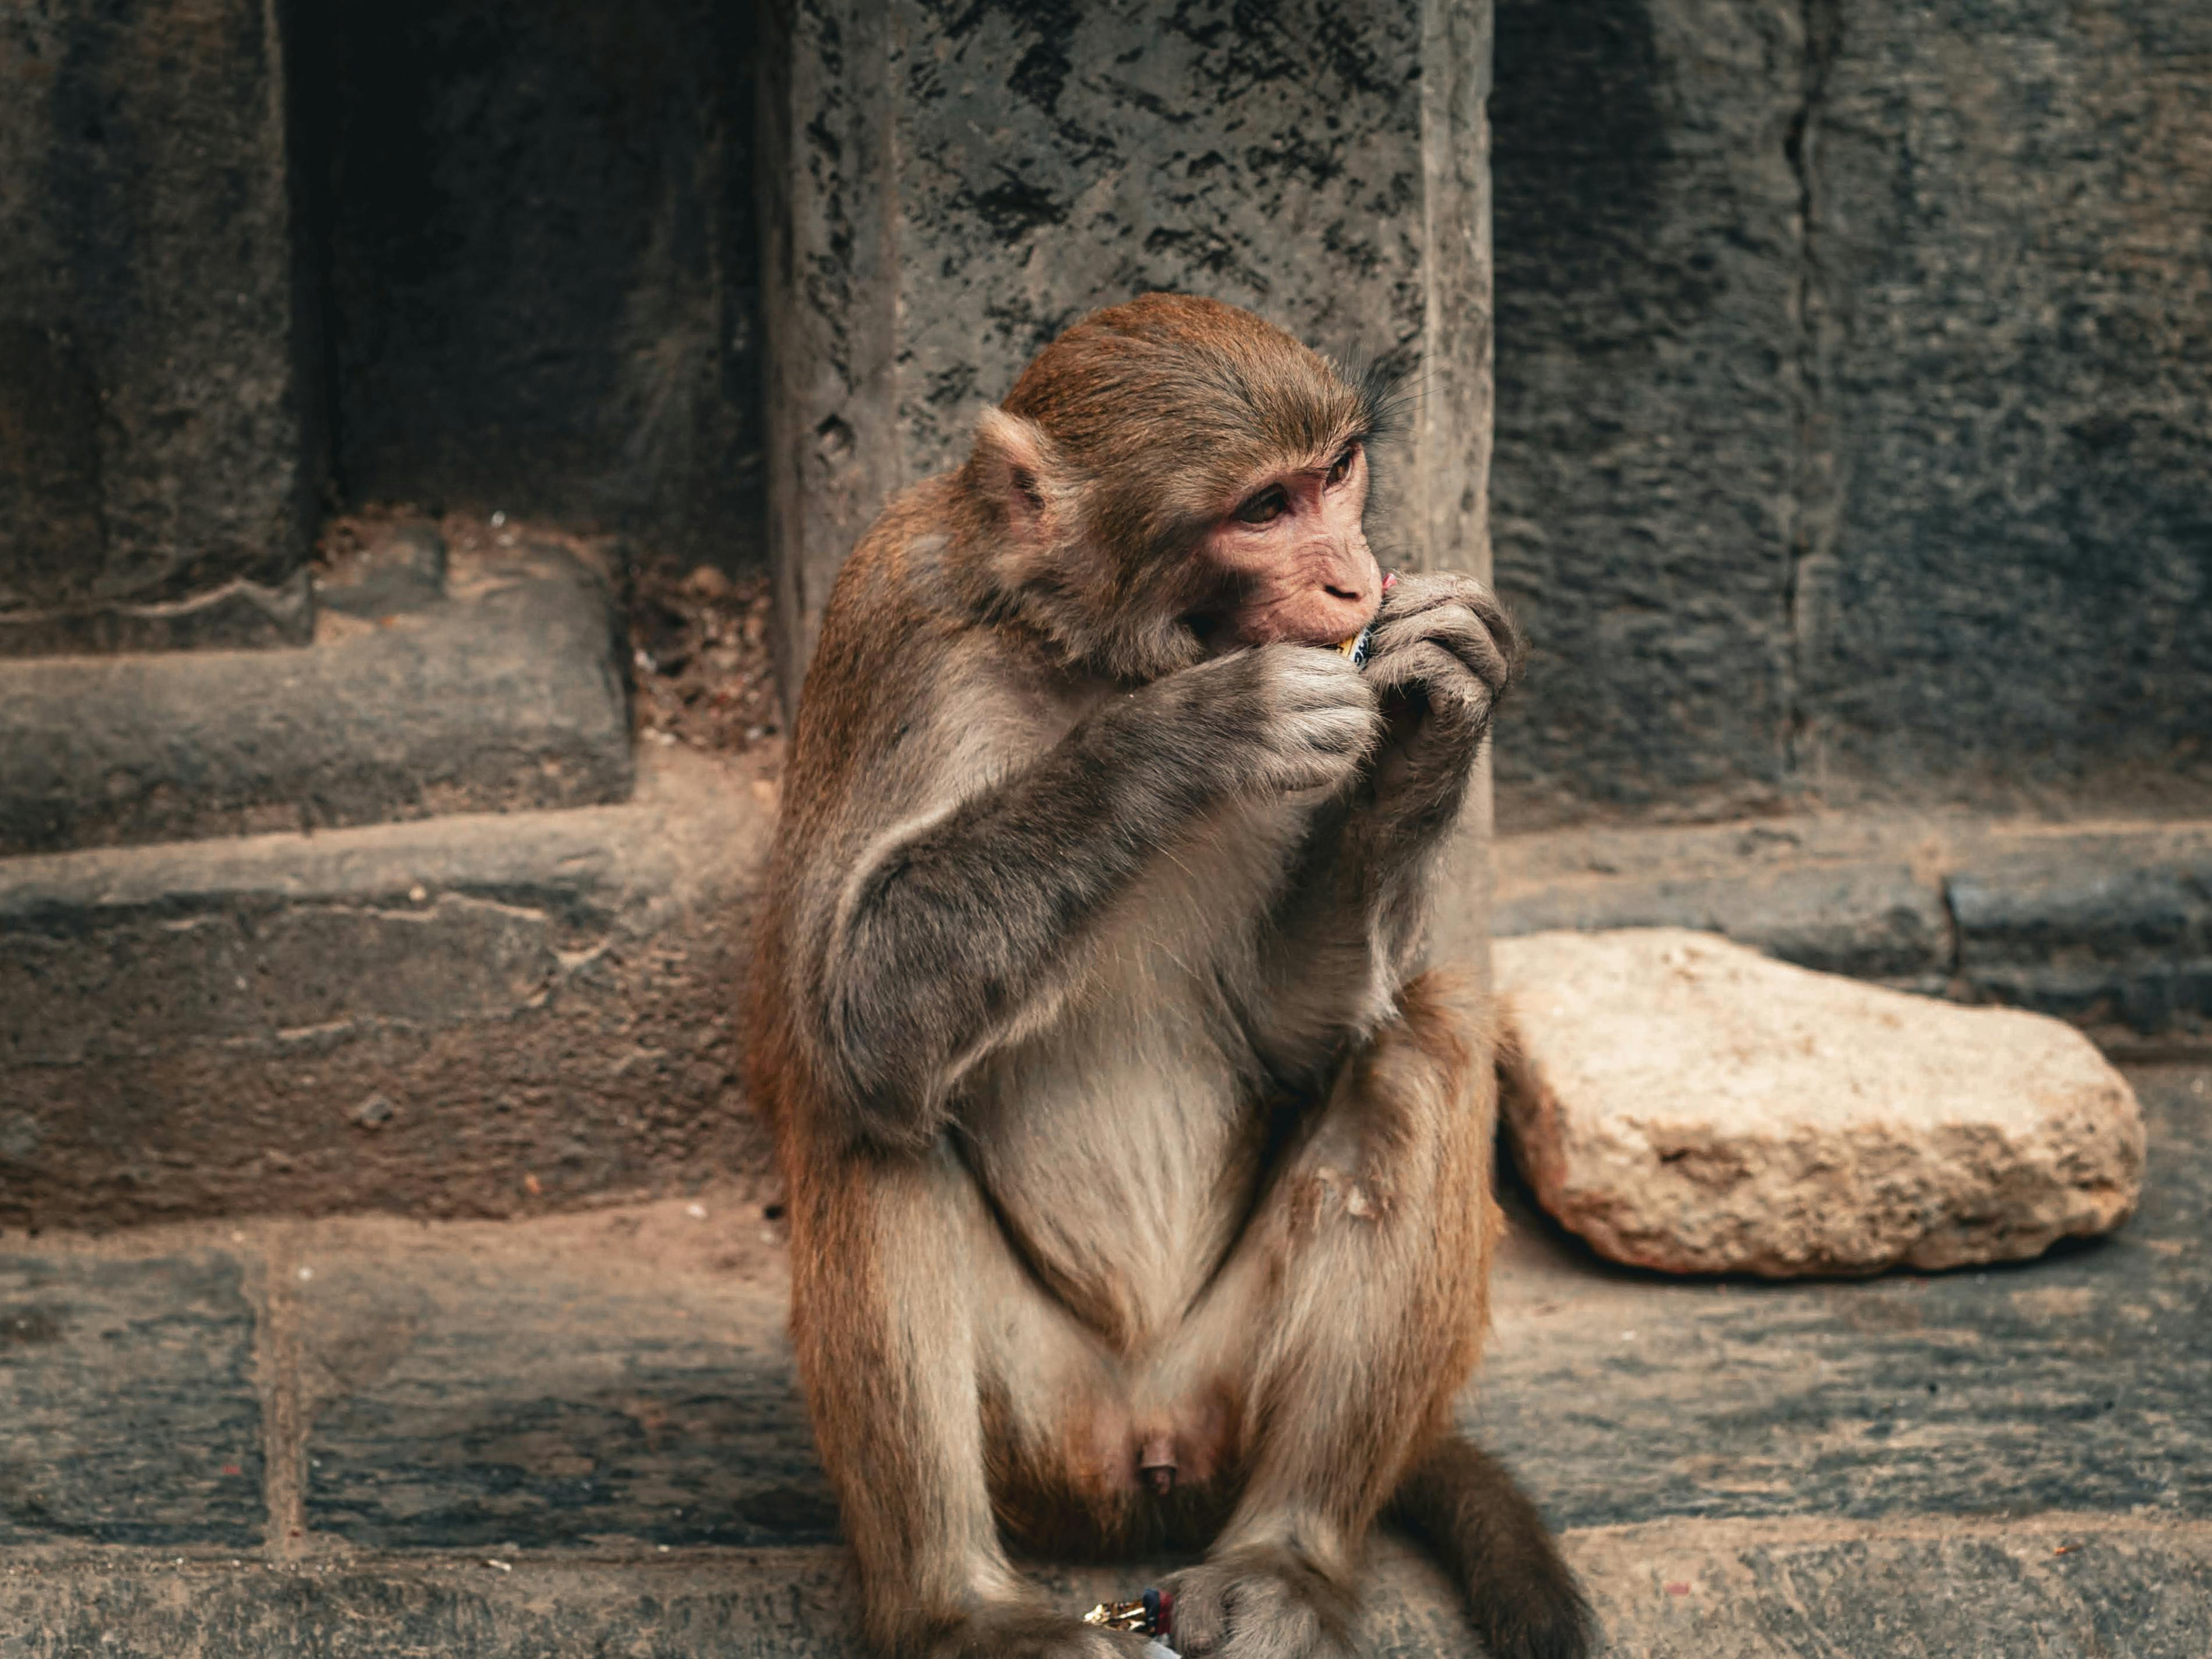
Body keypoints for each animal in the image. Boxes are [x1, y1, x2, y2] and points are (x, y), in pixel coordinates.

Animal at [743, 293, 1591, 1659]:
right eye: (1260, 509)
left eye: (1335, 475)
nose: (1354, 579)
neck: (1092, 654)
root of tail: (1139, 1448)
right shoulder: (891, 621)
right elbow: (835, 1011)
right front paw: (1194, 732)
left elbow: (1296, 1028)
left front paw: (1440, 704)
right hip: (1038, 1424)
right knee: (862, 1115)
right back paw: (955, 1606)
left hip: (1224, 1393)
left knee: (1422, 1045)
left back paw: (1289, 1556)